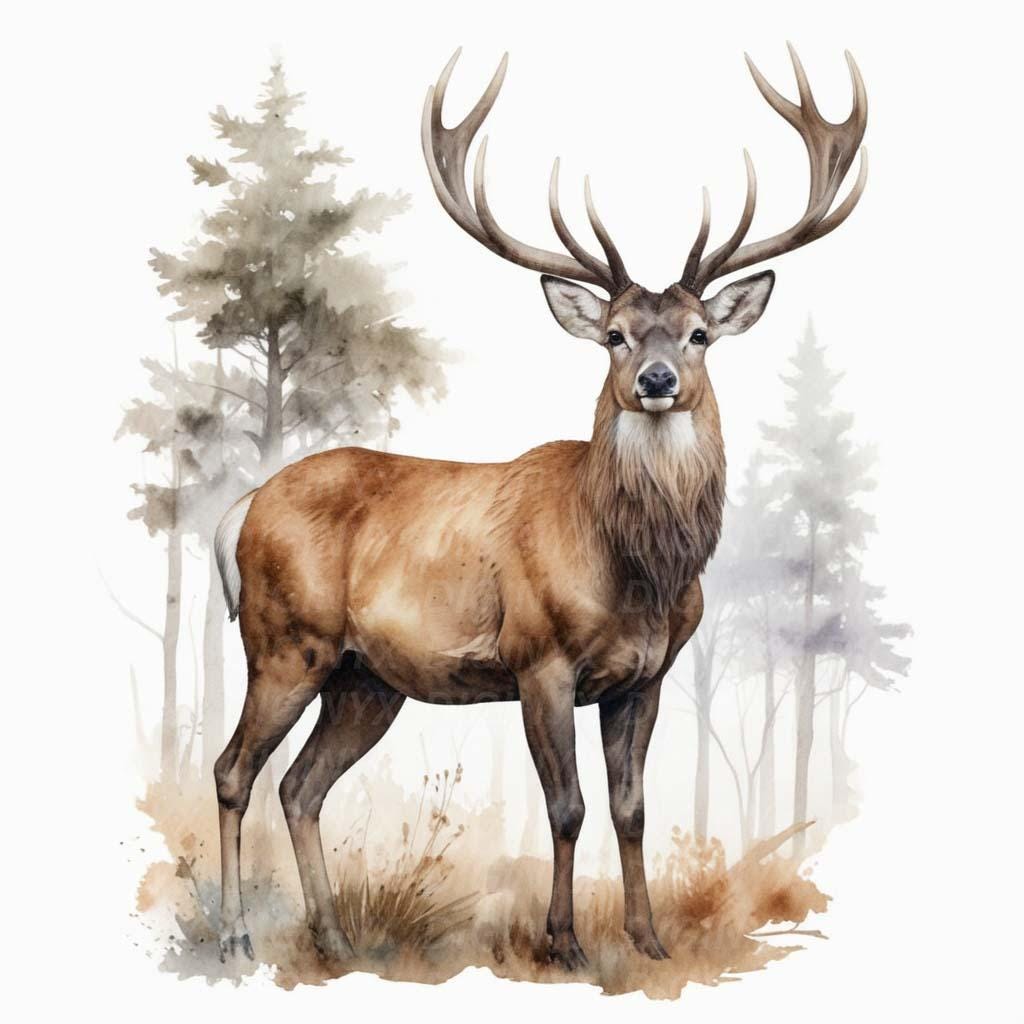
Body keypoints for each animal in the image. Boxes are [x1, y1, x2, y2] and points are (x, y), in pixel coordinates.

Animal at [212, 45, 867, 969]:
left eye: (698, 334)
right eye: (614, 336)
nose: (656, 380)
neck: (638, 573)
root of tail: (238, 510)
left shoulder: (646, 676)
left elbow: (631, 809)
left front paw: (648, 941)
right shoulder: (539, 658)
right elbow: (568, 807)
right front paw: (566, 944)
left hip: (364, 678)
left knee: (302, 788)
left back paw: (335, 937)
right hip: (284, 641)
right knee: (235, 770)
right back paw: (235, 933)